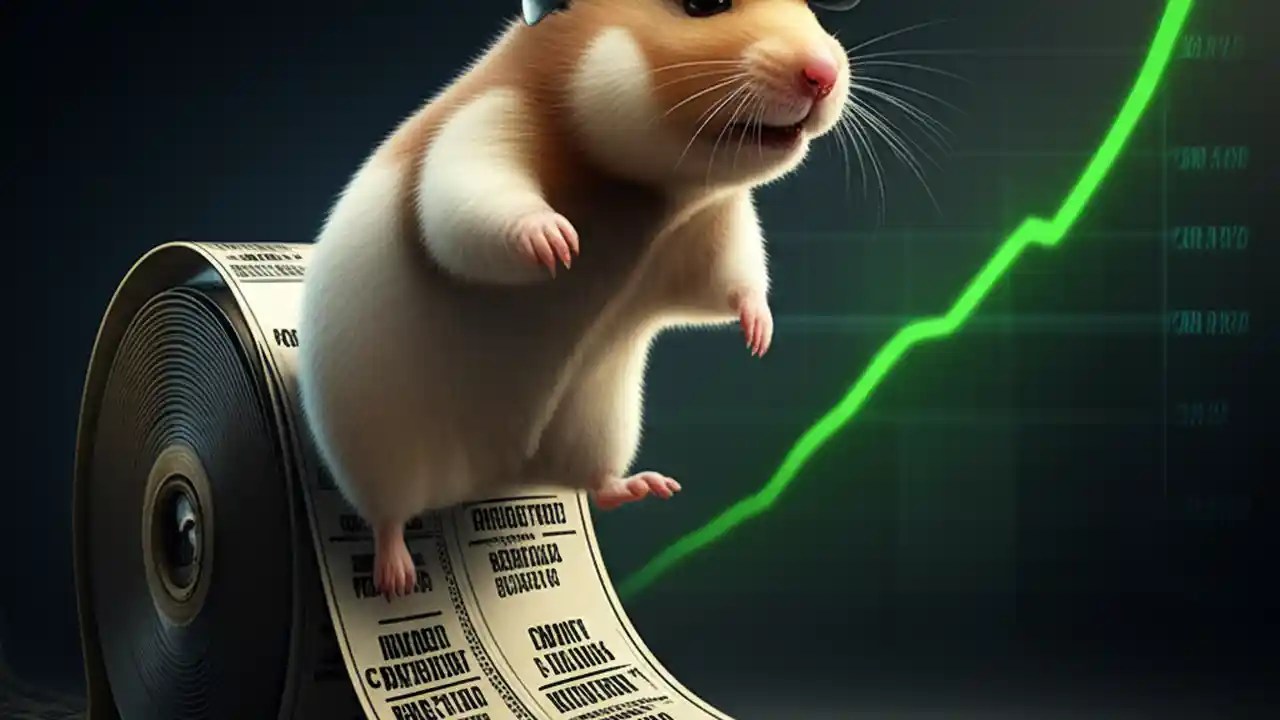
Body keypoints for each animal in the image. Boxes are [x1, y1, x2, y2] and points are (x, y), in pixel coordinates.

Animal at [296, 0, 852, 597]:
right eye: (703, 6)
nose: (824, 75)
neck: (644, 187)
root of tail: (495, 474)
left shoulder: (712, 224)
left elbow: (735, 272)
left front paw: (759, 334)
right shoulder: (485, 124)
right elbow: (470, 203)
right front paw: (557, 243)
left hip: (598, 421)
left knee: (596, 483)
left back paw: (646, 486)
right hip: (381, 440)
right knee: (387, 515)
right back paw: (396, 576)